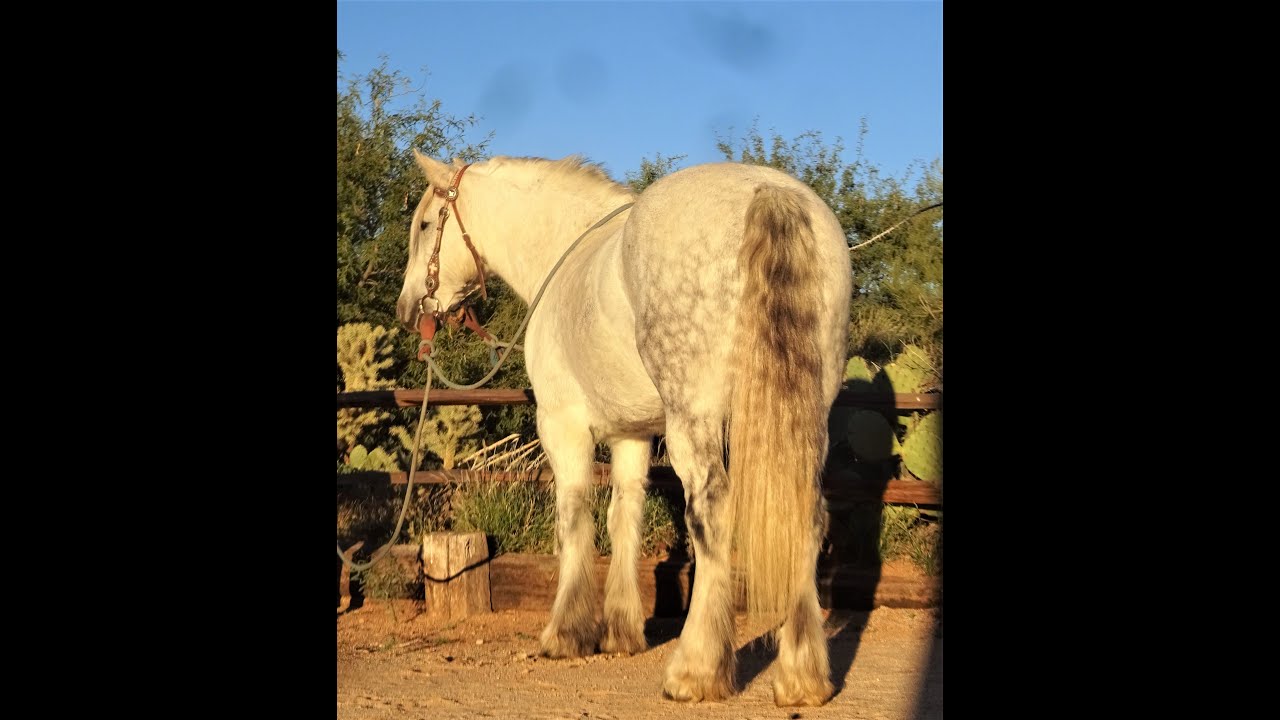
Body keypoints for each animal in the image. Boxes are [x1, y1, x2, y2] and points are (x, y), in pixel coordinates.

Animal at [396, 152, 851, 706]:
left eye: (424, 224)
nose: (407, 309)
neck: (565, 255)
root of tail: (768, 193)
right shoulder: (632, 435)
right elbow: (624, 517)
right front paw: (620, 632)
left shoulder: (563, 426)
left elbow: (574, 519)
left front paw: (566, 633)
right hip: (805, 416)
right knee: (808, 514)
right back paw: (802, 677)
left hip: (694, 419)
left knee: (712, 514)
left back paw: (696, 670)